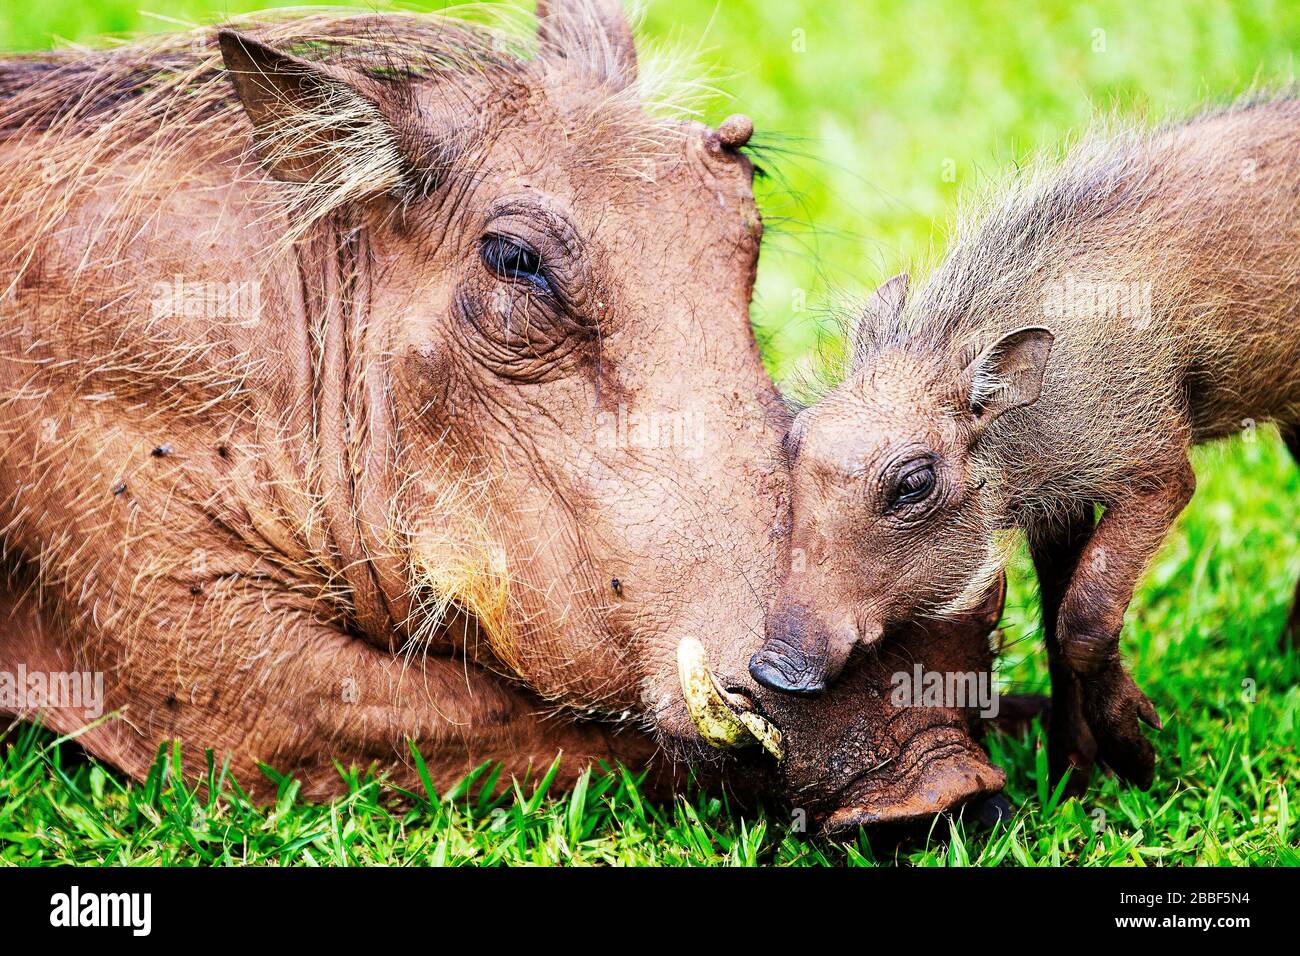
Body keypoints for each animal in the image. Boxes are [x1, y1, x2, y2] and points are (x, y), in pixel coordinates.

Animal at [752, 95, 1300, 792]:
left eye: (914, 482)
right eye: (794, 441)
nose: (771, 669)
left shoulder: (1156, 471)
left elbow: (1083, 618)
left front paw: (1139, 759)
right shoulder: (1058, 504)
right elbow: (1055, 626)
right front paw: (1071, 778)